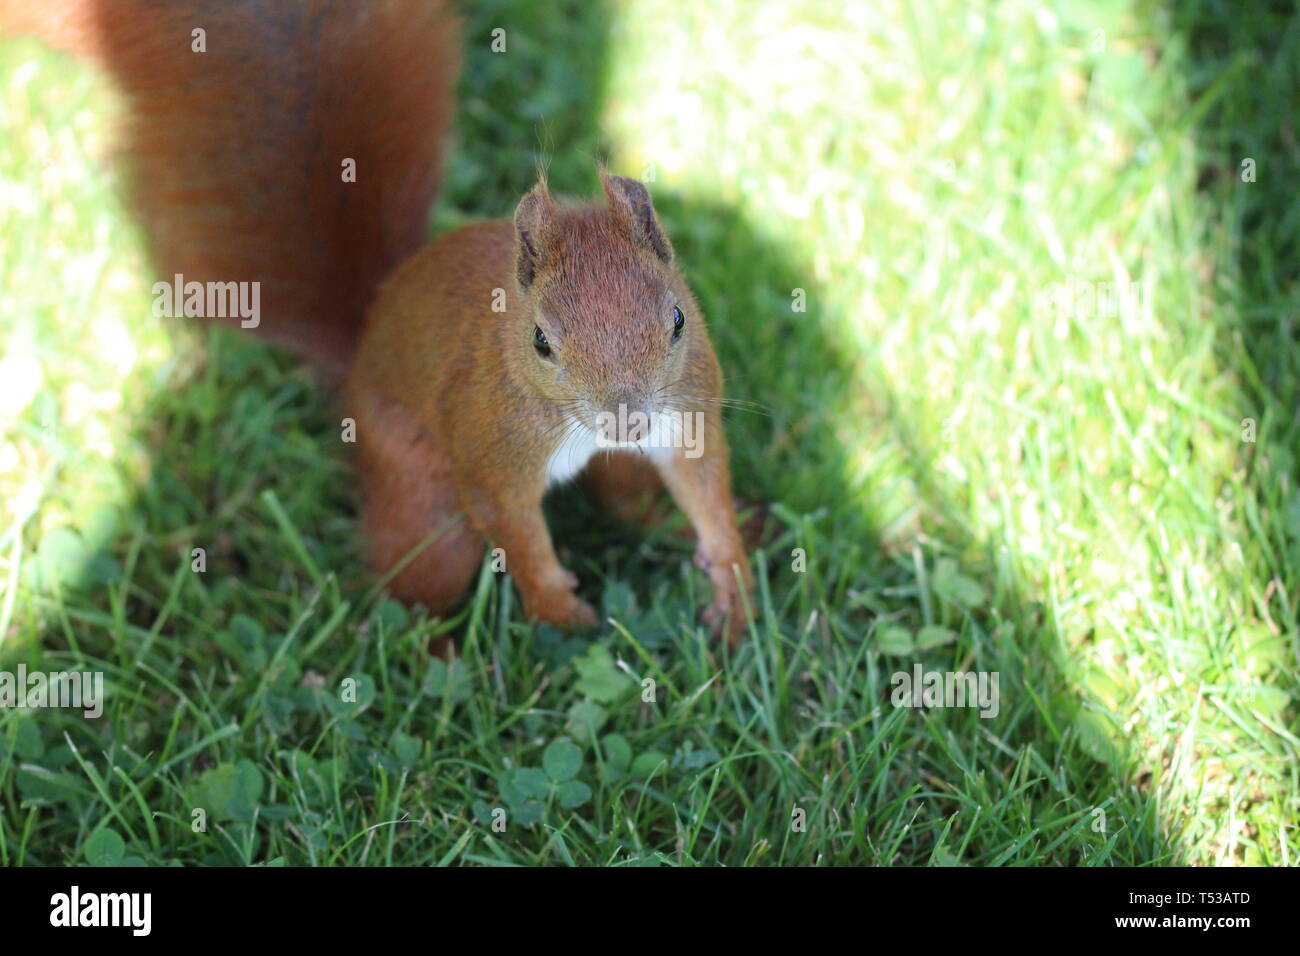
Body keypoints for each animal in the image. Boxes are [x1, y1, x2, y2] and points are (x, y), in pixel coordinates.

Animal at [4, 0, 756, 643]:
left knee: (625, 494)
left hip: (612, 467)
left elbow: (703, 481)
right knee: (415, 583)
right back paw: (439, 655)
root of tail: (365, 342)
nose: (628, 423)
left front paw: (733, 586)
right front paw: (559, 610)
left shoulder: (686, 408)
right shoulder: (490, 447)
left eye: (679, 320)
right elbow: (513, 529)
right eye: (542, 342)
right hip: (420, 489)